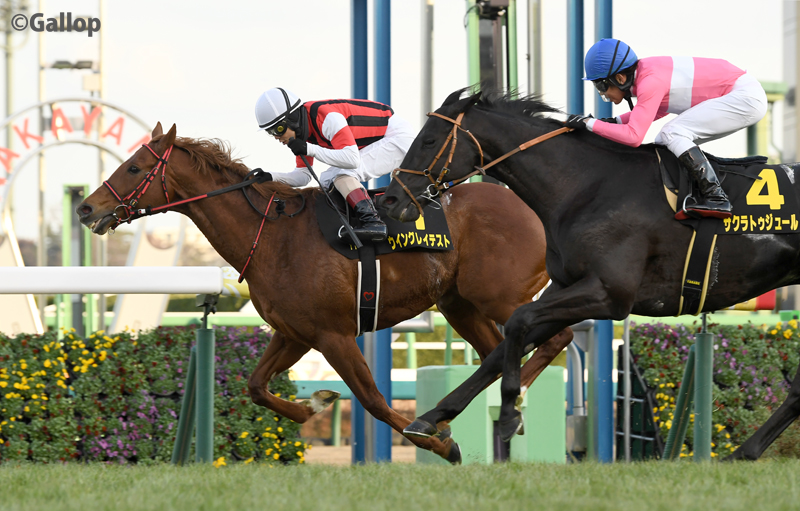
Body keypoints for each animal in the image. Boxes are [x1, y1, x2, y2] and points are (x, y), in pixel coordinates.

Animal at [75, 122, 574, 464]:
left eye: (134, 167)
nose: (85, 208)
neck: (273, 235)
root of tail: (533, 207)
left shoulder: (333, 335)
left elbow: (374, 401)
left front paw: (437, 441)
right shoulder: (295, 333)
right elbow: (256, 386)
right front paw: (312, 404)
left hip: (499, 297)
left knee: (555, 337)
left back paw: (510, 403)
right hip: (460, 305)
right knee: (498, 352)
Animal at [379, 88, 800, 459]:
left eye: (429, 140)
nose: (391, 200)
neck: (586, 186)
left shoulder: (610, 294)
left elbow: (518, 321)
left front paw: (510, 413)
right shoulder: (567, 288)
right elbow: (500, 352)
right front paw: (431, 419)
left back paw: (743, 452)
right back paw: (743, 453)